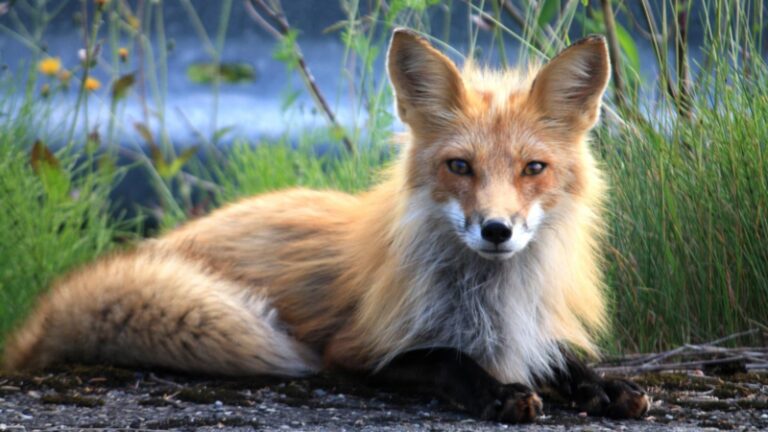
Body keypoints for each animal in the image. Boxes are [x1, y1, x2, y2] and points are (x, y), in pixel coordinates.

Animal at [4, 29, 649, 423]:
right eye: (460, 167)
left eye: (533, 168)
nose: (496, 230)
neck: (490, 299)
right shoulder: (358, 350)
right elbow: (448, 358)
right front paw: (500, 391)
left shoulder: (530, 326)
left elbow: (560, 356)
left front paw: (603, 384)